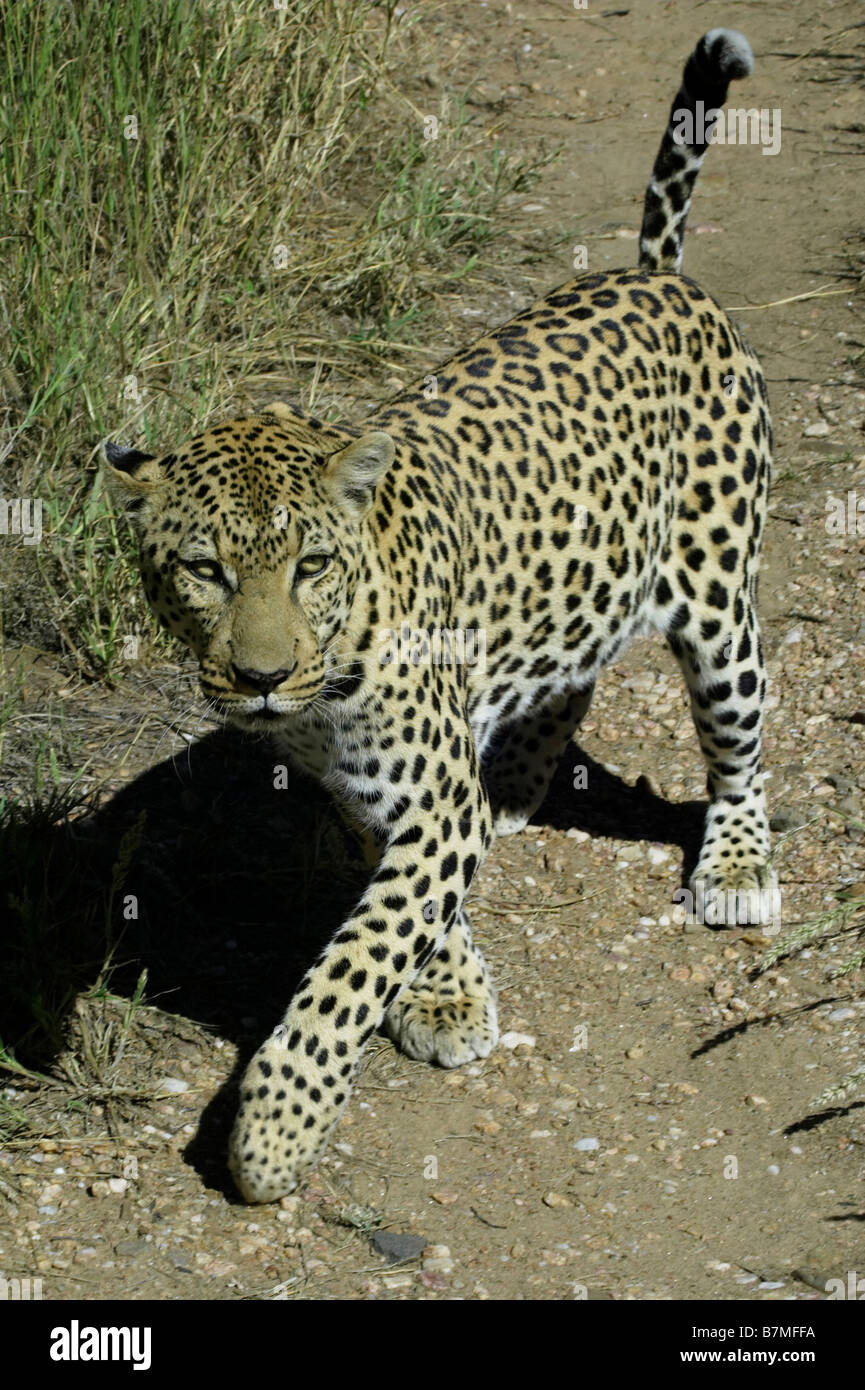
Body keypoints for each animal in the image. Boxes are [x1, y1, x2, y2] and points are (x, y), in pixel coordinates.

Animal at [103, 29, 776, 1203]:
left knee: (740, 733)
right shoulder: (378, 799)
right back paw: (515, 781)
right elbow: (414, 911)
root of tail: (655, 276)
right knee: (567, 674)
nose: (261, 678)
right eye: (204, 571)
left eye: (311, 565)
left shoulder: (424, 802)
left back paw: (734, 863)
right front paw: (447, 989)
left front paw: (273, 1131)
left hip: (712, 592)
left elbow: (352, 962)